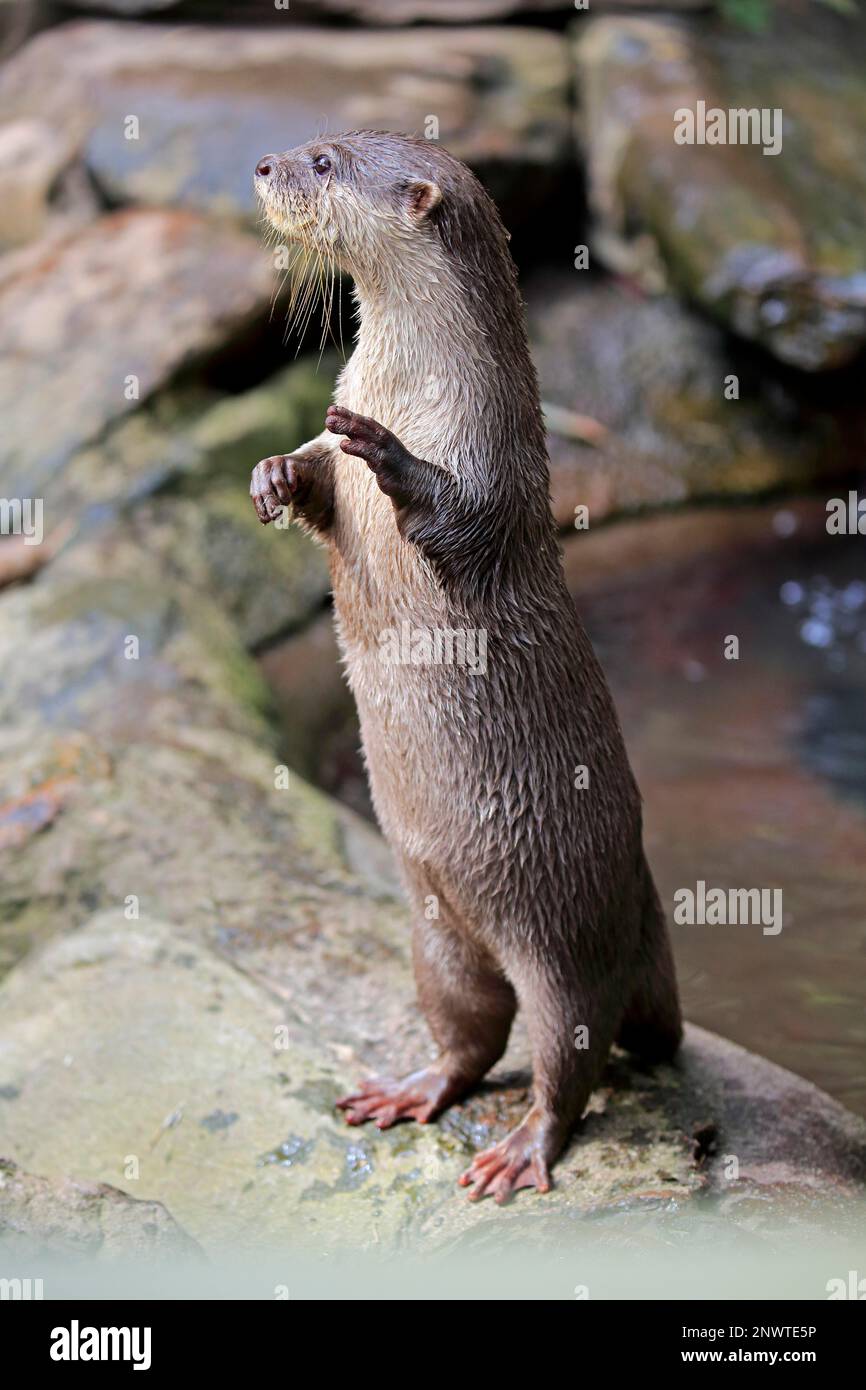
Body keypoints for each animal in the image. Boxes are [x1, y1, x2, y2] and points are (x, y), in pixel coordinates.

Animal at [251, 131, 682, 1202]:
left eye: (325, 160)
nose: (265, 166)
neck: (406, 388)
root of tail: (645, 907)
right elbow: (315, 476)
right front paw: (273, 476)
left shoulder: (496, 471)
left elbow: (458, 514)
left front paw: (391, 459)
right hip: (435, 933)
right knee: (471, 1036)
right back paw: (410, 1090)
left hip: (573, 940)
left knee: (570, 1056)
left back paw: (523, 1151)